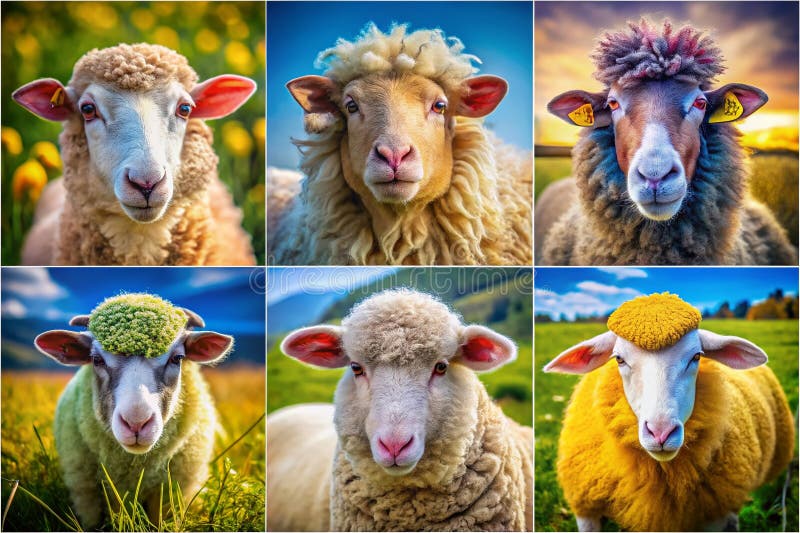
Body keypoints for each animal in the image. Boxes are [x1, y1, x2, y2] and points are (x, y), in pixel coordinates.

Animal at [33, 293, 234, 528]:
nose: (136, 423)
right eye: (96, 359)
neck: (136, 467)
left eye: (177, 358)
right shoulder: (87, 495)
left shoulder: (172, 495)